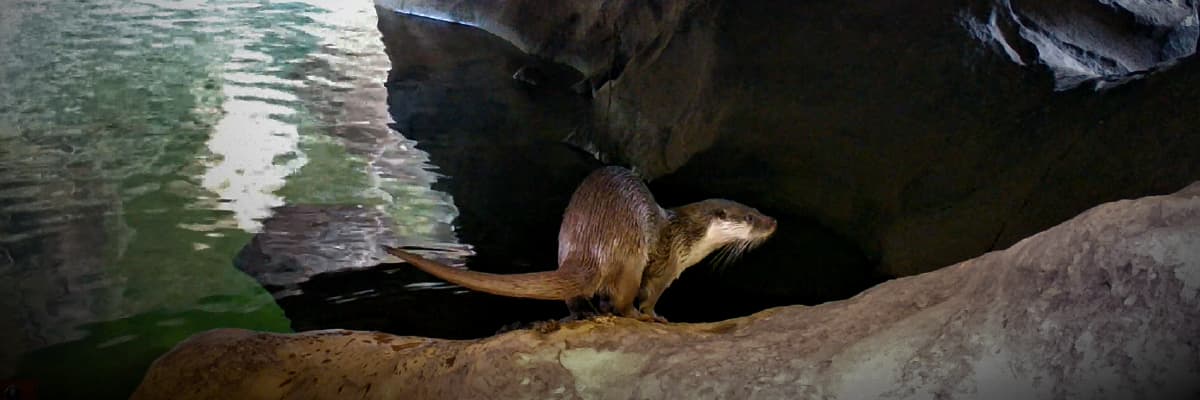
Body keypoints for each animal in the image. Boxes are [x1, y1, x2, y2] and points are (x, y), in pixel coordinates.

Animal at [384, 166, 775, 322]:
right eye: (750, 218)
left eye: (758, 209)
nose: (773, 222)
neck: (685, 235)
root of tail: (588, 250)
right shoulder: (666, 265)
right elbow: (651, 294)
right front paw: (656, 315)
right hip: (631, 254)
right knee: (622, 301)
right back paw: (632, 315)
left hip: (564, 241)